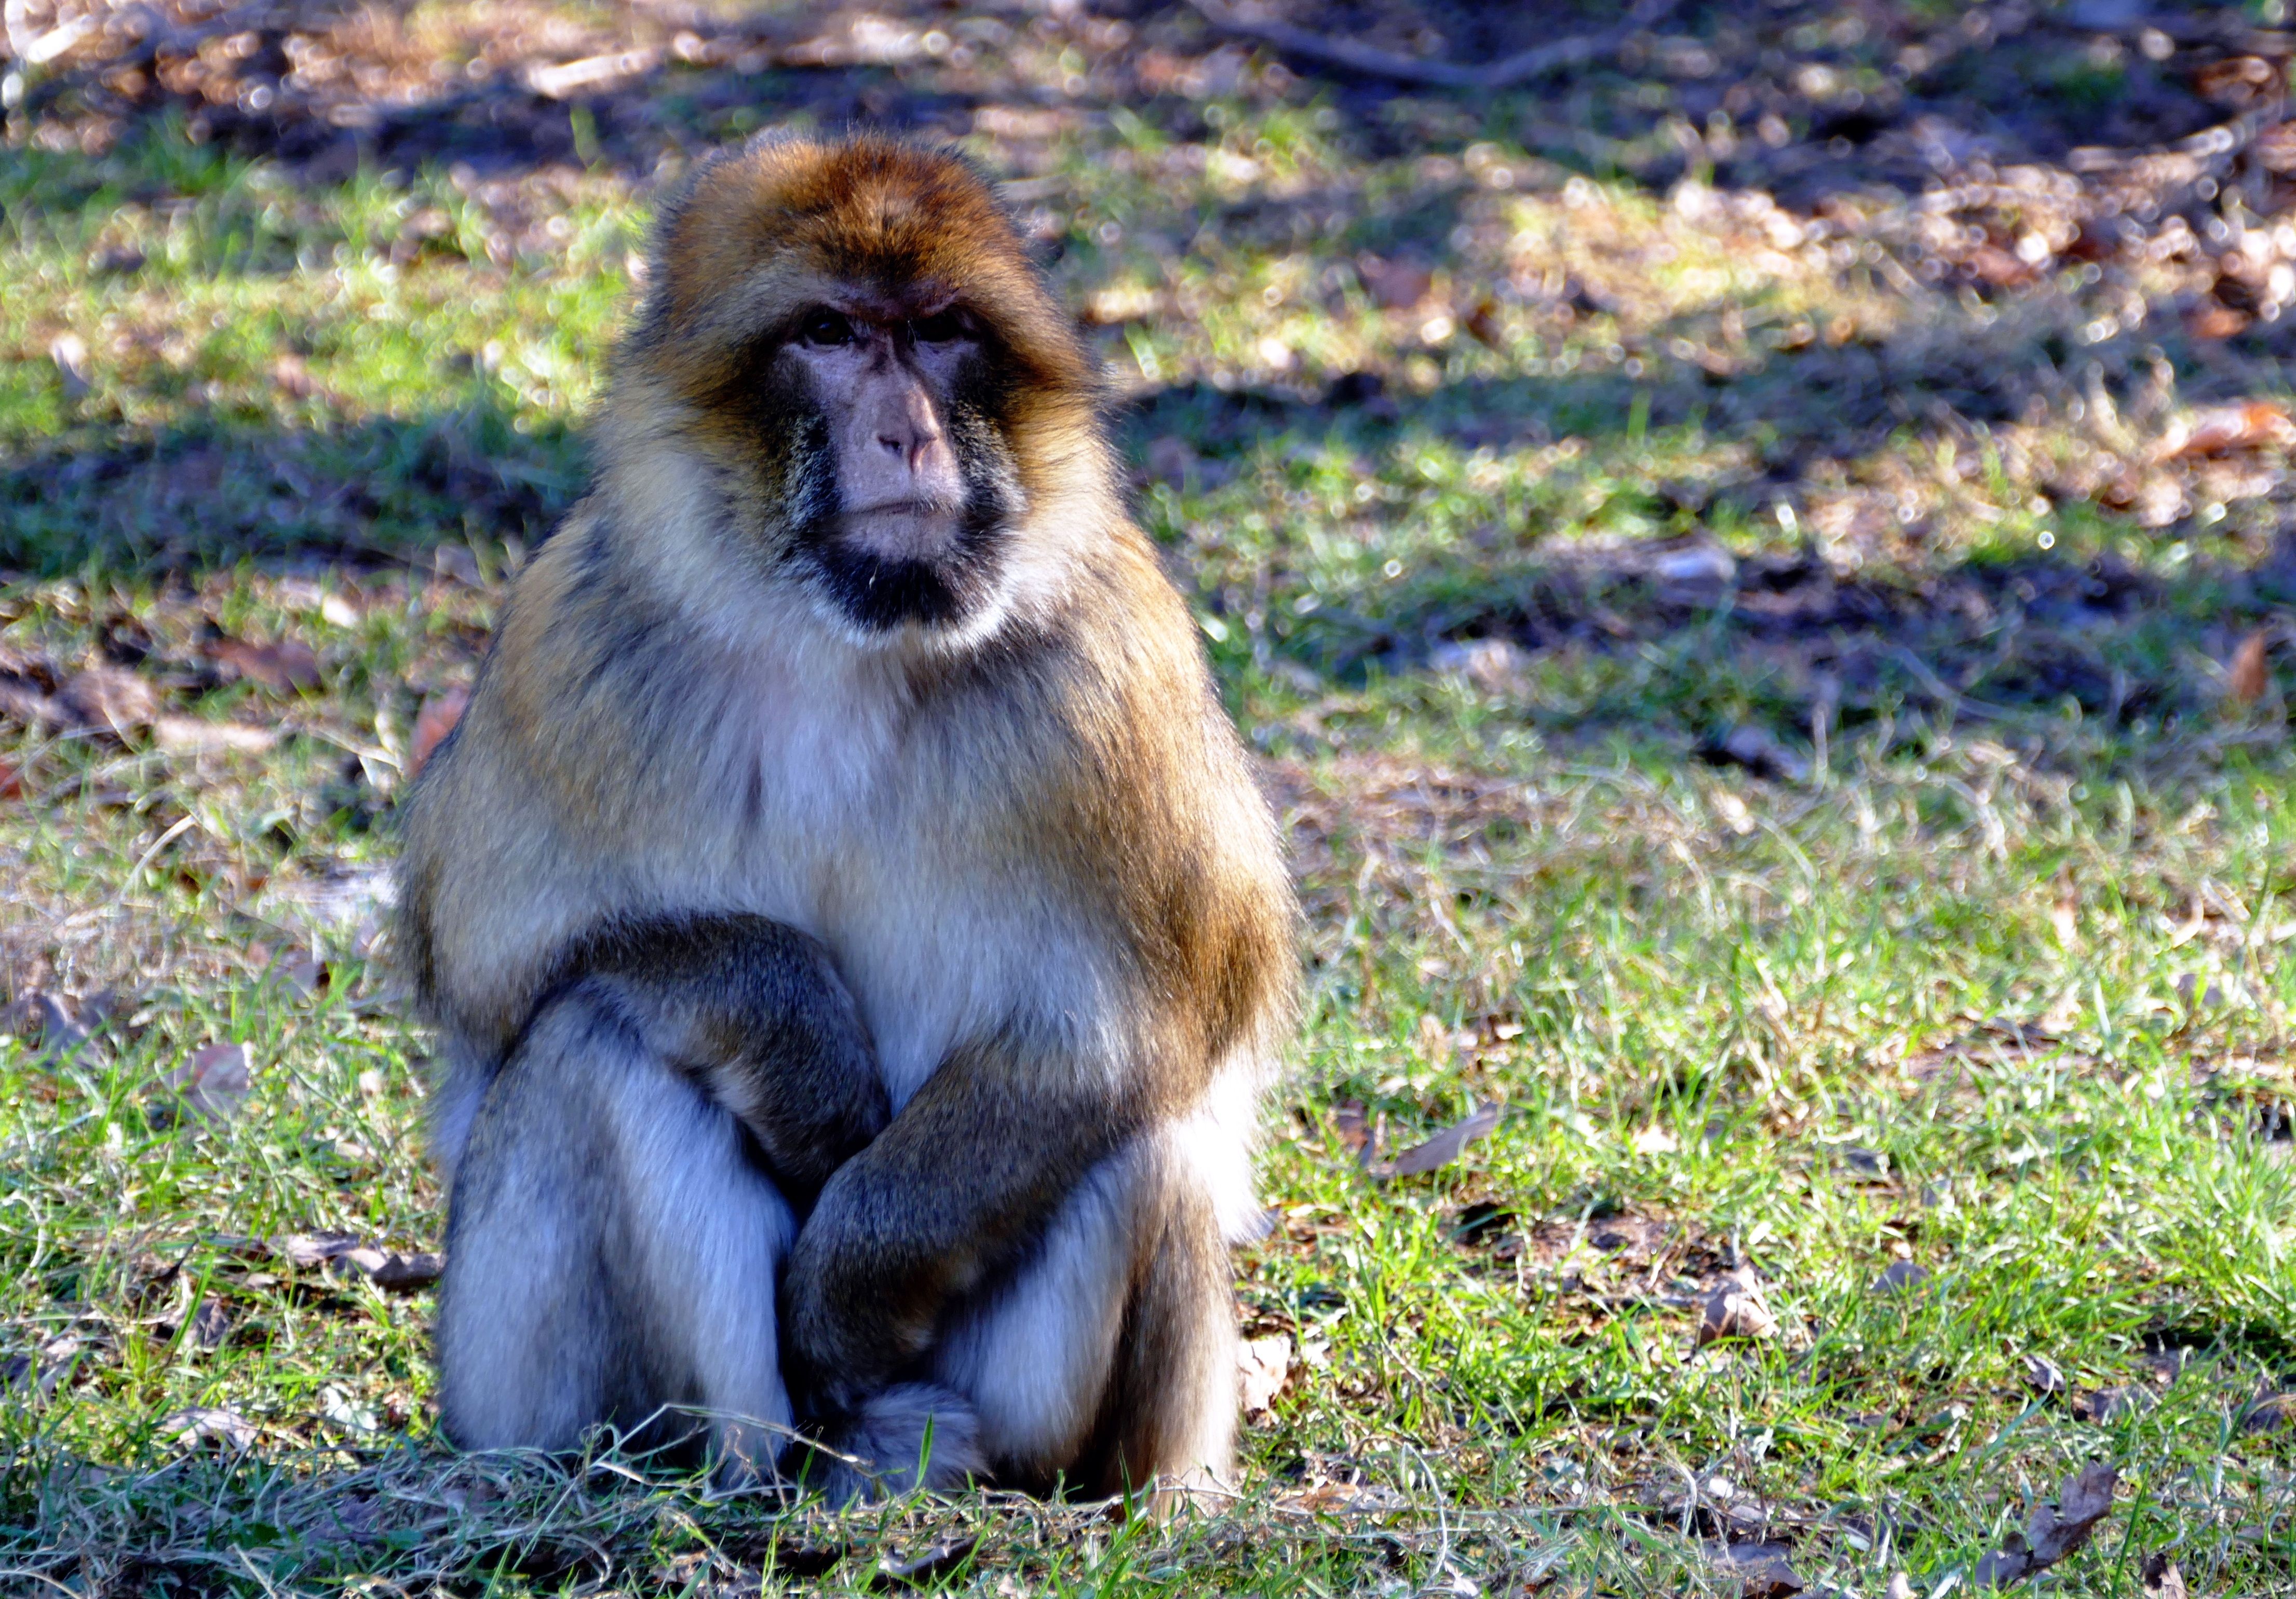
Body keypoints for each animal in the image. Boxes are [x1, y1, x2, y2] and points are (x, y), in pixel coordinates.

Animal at [396, 132, 1297, 1504]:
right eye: (827, 332)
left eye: (938, 332)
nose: (904, 432)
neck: (847, 645)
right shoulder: (574, 644)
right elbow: (497, 962)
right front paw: (801, 1043)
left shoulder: (1111, 669)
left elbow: (1113, 1037)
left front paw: (846, 1287)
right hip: (516, 1391)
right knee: (594, 1039)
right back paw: (739, 1467)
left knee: (1137, 1127)